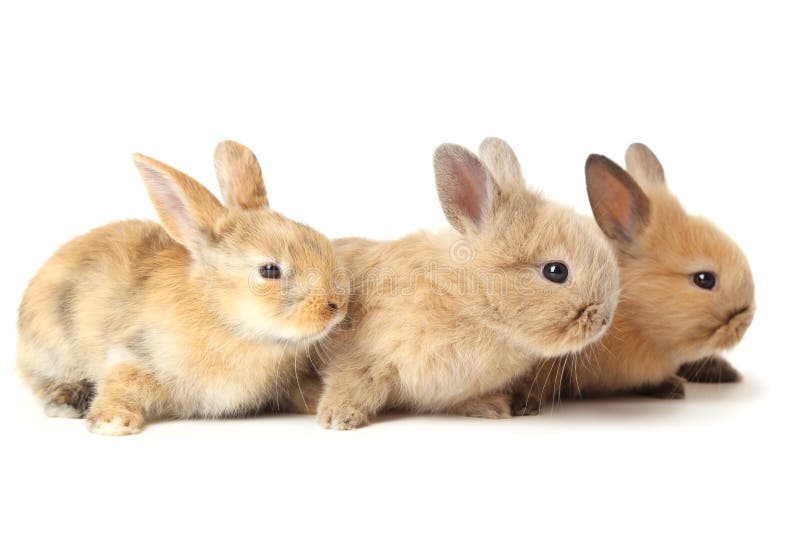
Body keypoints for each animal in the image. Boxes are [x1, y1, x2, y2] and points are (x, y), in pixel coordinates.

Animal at [16, 141, 348, 435]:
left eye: (317, 239)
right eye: (269, 270)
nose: (337, 305)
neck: (220, 318)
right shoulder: (133, 354)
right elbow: (120, 385)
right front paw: (114, 423)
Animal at [314, 138, 620, 430]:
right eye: (555, 271)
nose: (604, 319)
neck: (468, 298)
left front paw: (491, 407)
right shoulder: (362, 356)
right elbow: (349, 383)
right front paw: (338, 418)